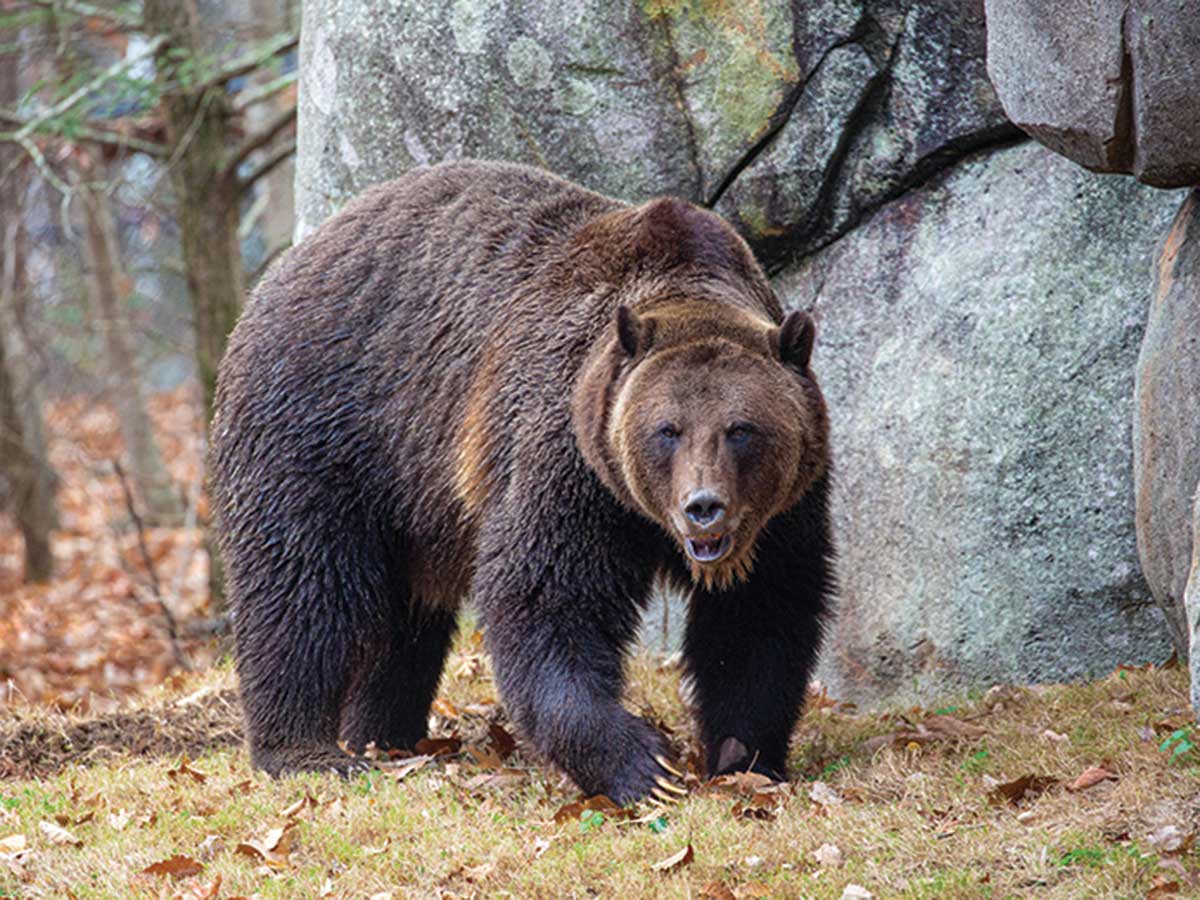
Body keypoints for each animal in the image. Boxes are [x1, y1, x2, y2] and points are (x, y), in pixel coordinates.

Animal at [210, 159, 834, 805]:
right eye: (668, 430)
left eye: (741, 429)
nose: (703, 507)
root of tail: (283, 266)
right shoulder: (565, 457)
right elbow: (544, 598)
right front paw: (644, 766)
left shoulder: (786, 511)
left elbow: (762, 615)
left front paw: (744, 757)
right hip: (328, 424)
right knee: (301, 586)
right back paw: (304, 750)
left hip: (414, 500)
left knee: (405, 619)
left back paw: (384, 734)